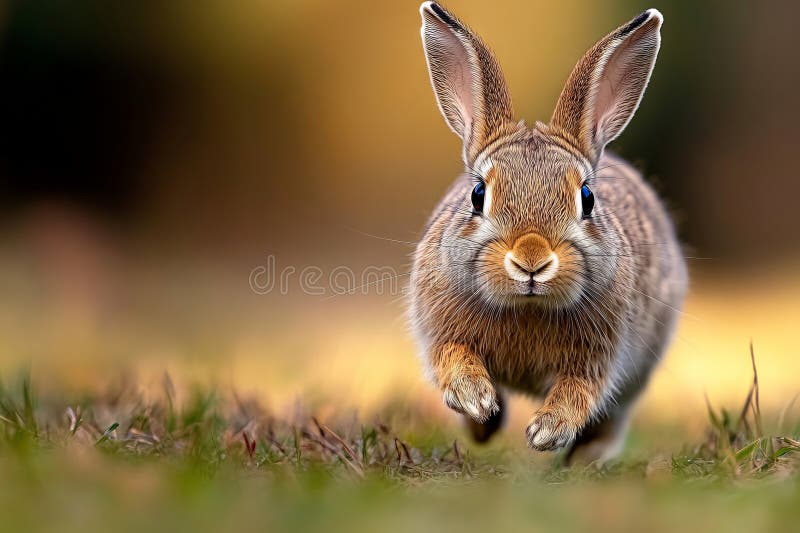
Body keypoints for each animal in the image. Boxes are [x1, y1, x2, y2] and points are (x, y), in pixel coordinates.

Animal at [409, 2, 687, 464]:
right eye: (478, 194)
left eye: (587, 198)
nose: (532, 260)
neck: (527, 307)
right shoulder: (440, 329)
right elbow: (454, 358)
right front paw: (478, 400)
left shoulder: (600, 358)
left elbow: (580, 390)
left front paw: (545, 432)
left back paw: (583, 458)